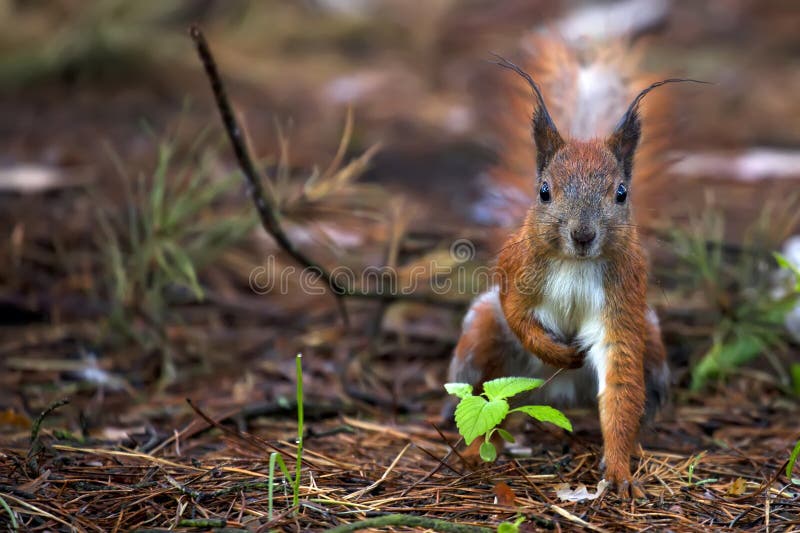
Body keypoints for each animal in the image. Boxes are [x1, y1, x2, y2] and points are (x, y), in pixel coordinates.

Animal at [448, 36, 691, 498]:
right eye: (544, 191)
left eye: (621, 193)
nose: (582, 235)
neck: (575, 263)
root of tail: (555, 396)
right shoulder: (516, 267)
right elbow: (517, 312)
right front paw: (557, 350)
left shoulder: (624, 298)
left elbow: (620, 381)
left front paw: (618, 471)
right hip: (480, 337)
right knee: (488, 401)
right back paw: (471, 452)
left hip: (652, 346)